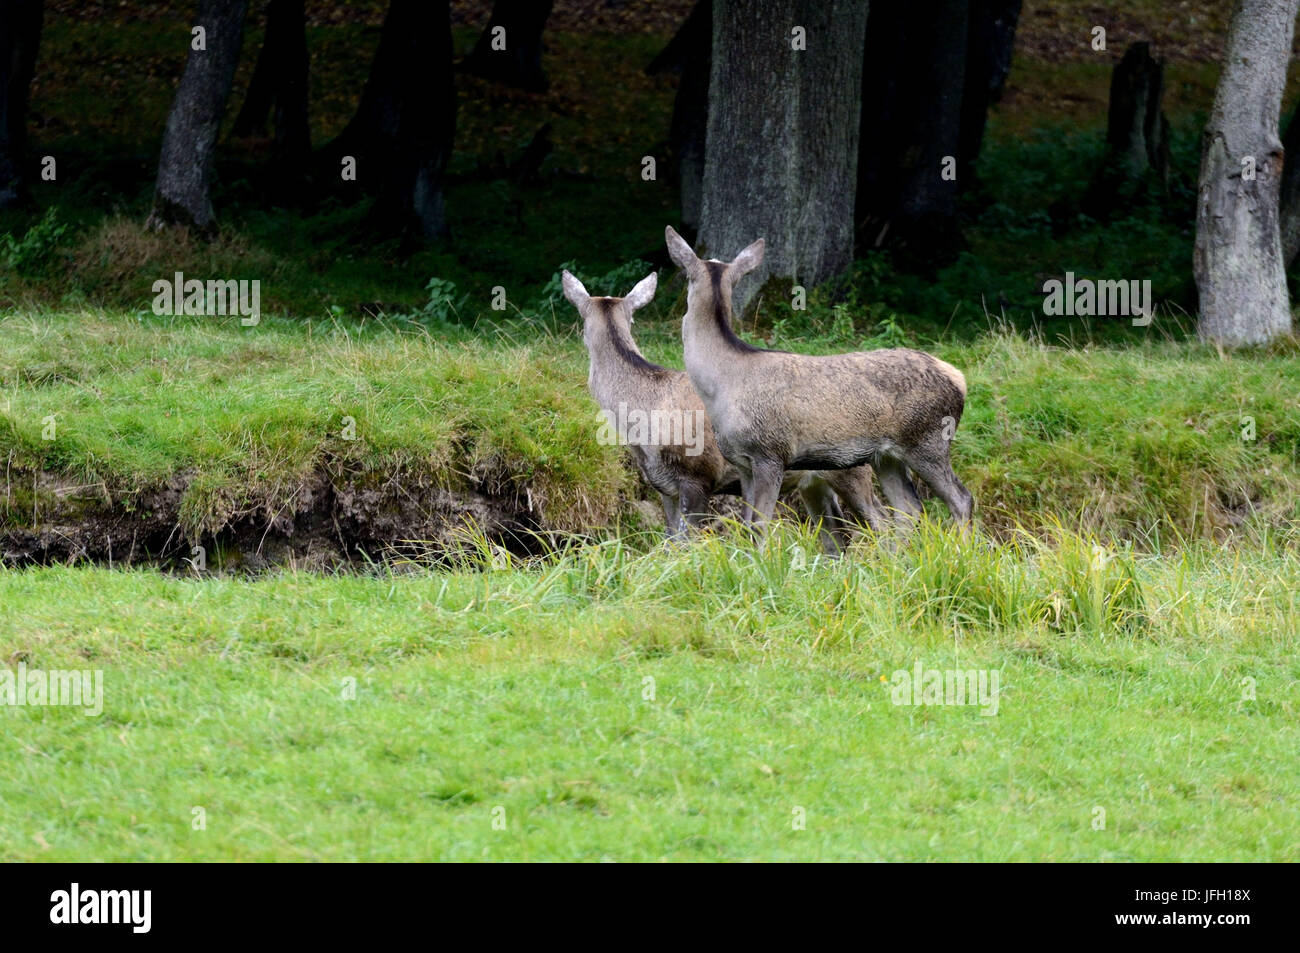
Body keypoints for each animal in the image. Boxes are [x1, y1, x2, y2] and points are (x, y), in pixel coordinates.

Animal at [561, 268, 884, 553]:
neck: (644, 422)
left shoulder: (699, 475)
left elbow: (687, 543)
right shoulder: (664, 486)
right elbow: (670, 543)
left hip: (853, 467)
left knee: (881, 521)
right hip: (814, 481)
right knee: (837, 535)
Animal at [664, 226, 973, 534]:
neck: (720, 386)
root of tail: (959, 378)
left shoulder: (770, 452)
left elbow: (760, 524)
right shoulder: (742, 462)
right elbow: (748, 522)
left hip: (928, 440)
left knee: (960, 499)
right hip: (886, 456)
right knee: (908, 509)